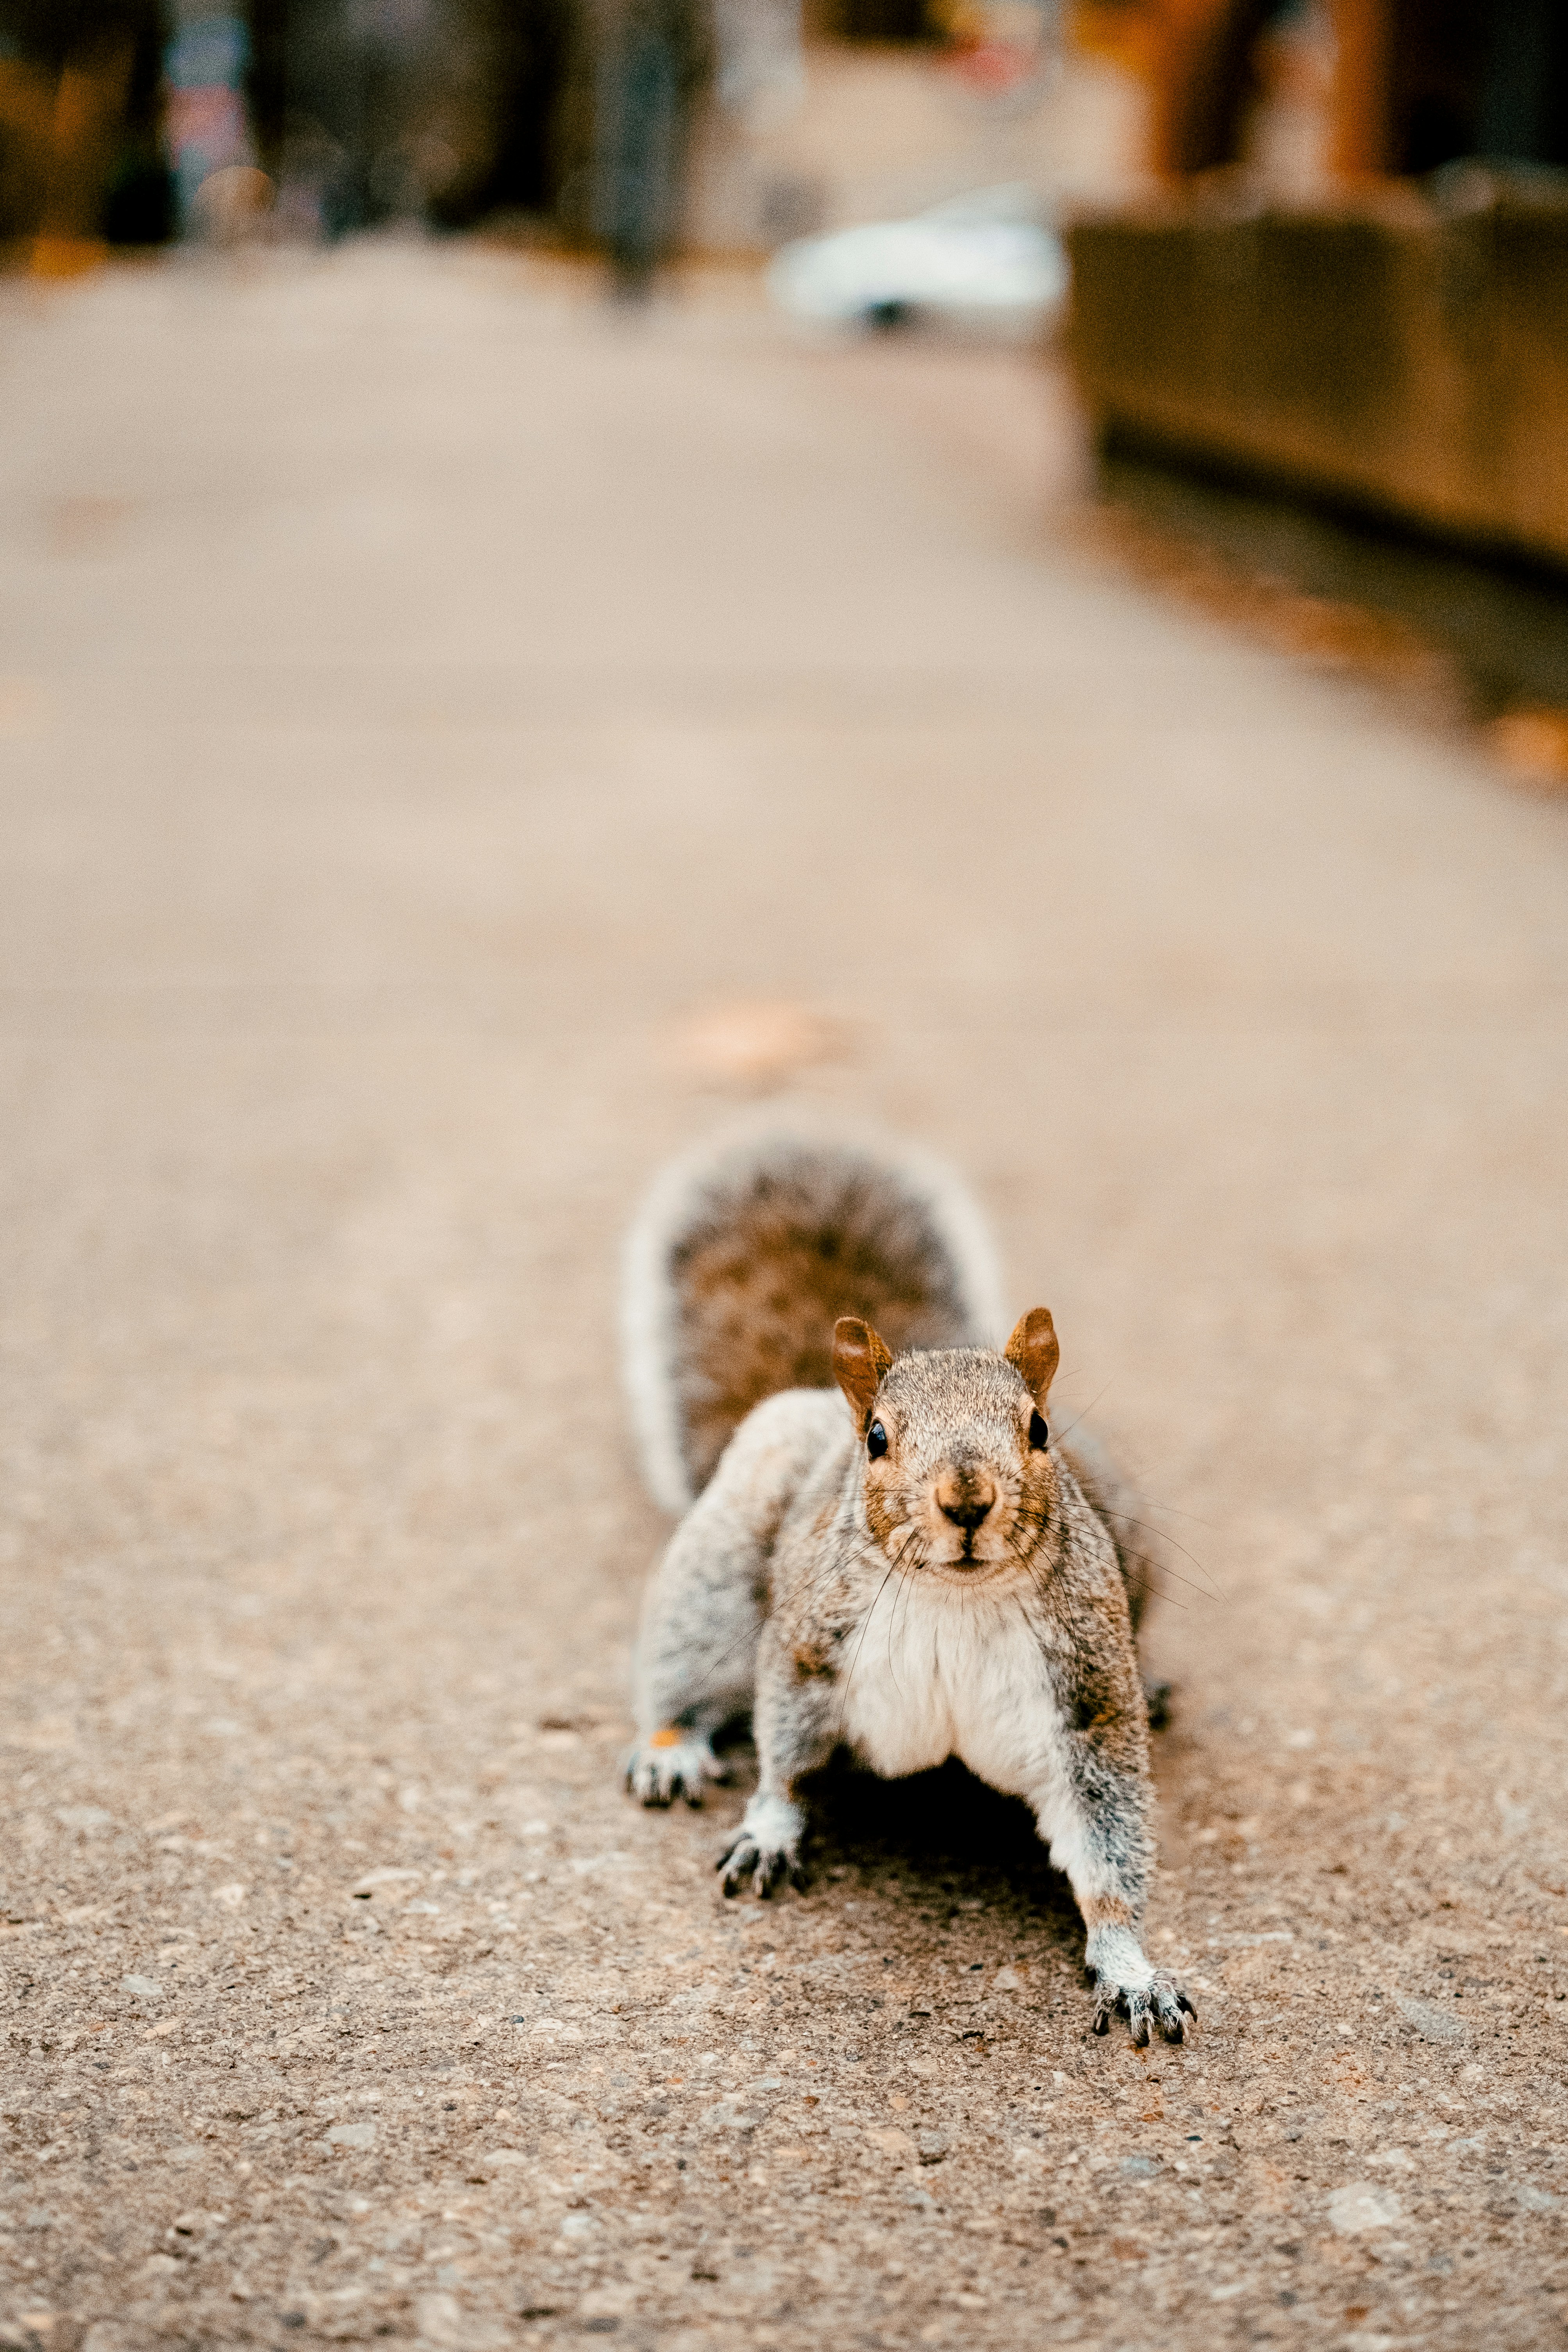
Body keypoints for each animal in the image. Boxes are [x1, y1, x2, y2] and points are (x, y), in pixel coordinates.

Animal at [619, 1122, 1195, 2047]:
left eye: (1039, 1428)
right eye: (880, 1439)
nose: (966, 1500)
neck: (954, 1598)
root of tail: (811, 1397)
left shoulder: (1088, 1698)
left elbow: (1108, 1840)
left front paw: (1130, 1966)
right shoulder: (808, 1647)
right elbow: (784, 1755)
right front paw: (768, 1829)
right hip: (717, 1572)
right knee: (688, 1668)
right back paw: (670, 1744)